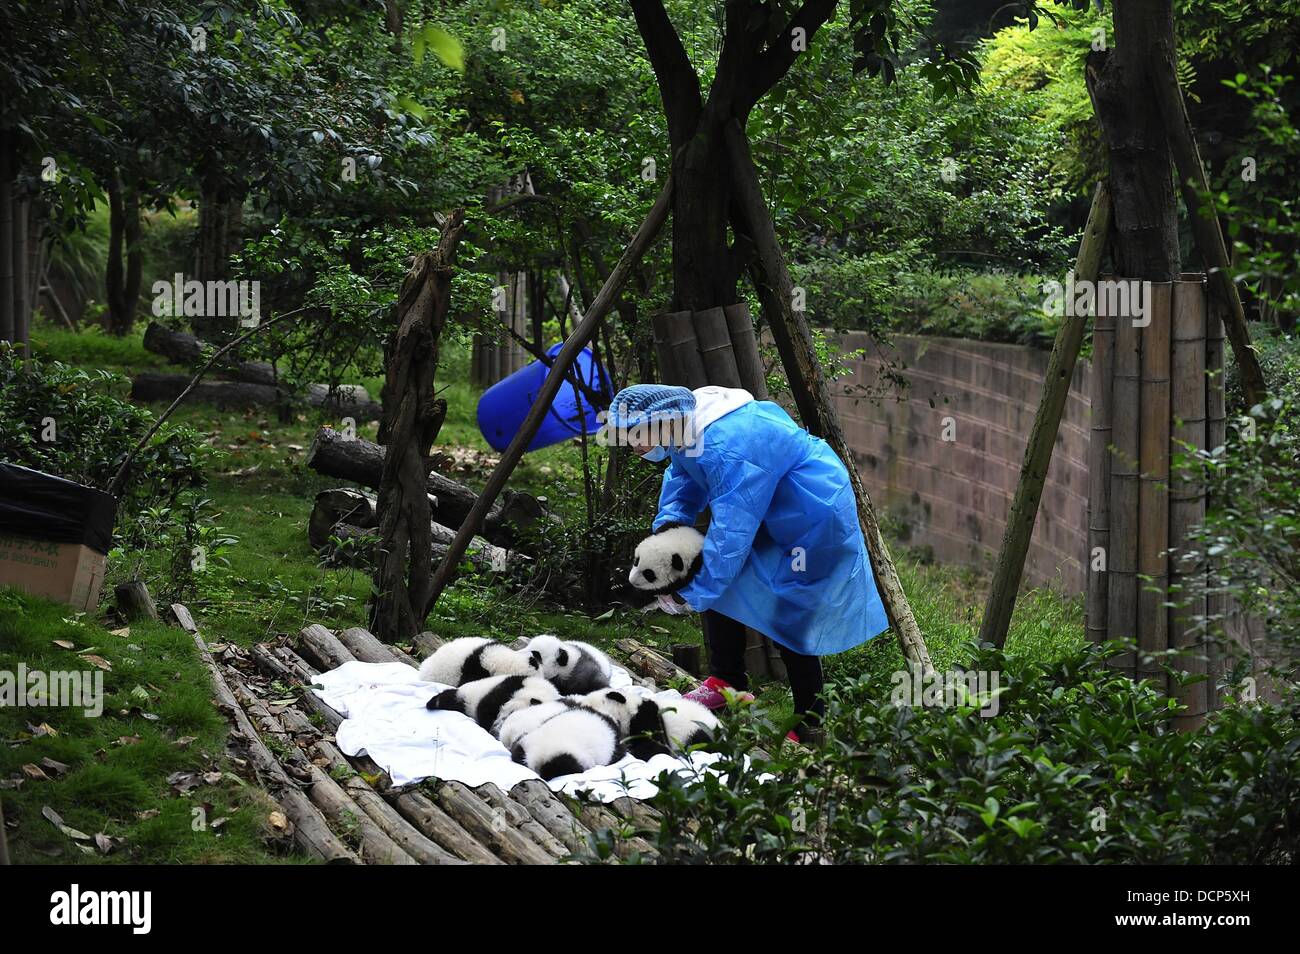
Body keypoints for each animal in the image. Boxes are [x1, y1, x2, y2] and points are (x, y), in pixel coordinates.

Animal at [425, 674, 559, 735]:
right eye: (509, 713)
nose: (493, 731)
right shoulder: (508, 688)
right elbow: (486, 708)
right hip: (466, 695)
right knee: (449, 698)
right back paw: (432, 703)